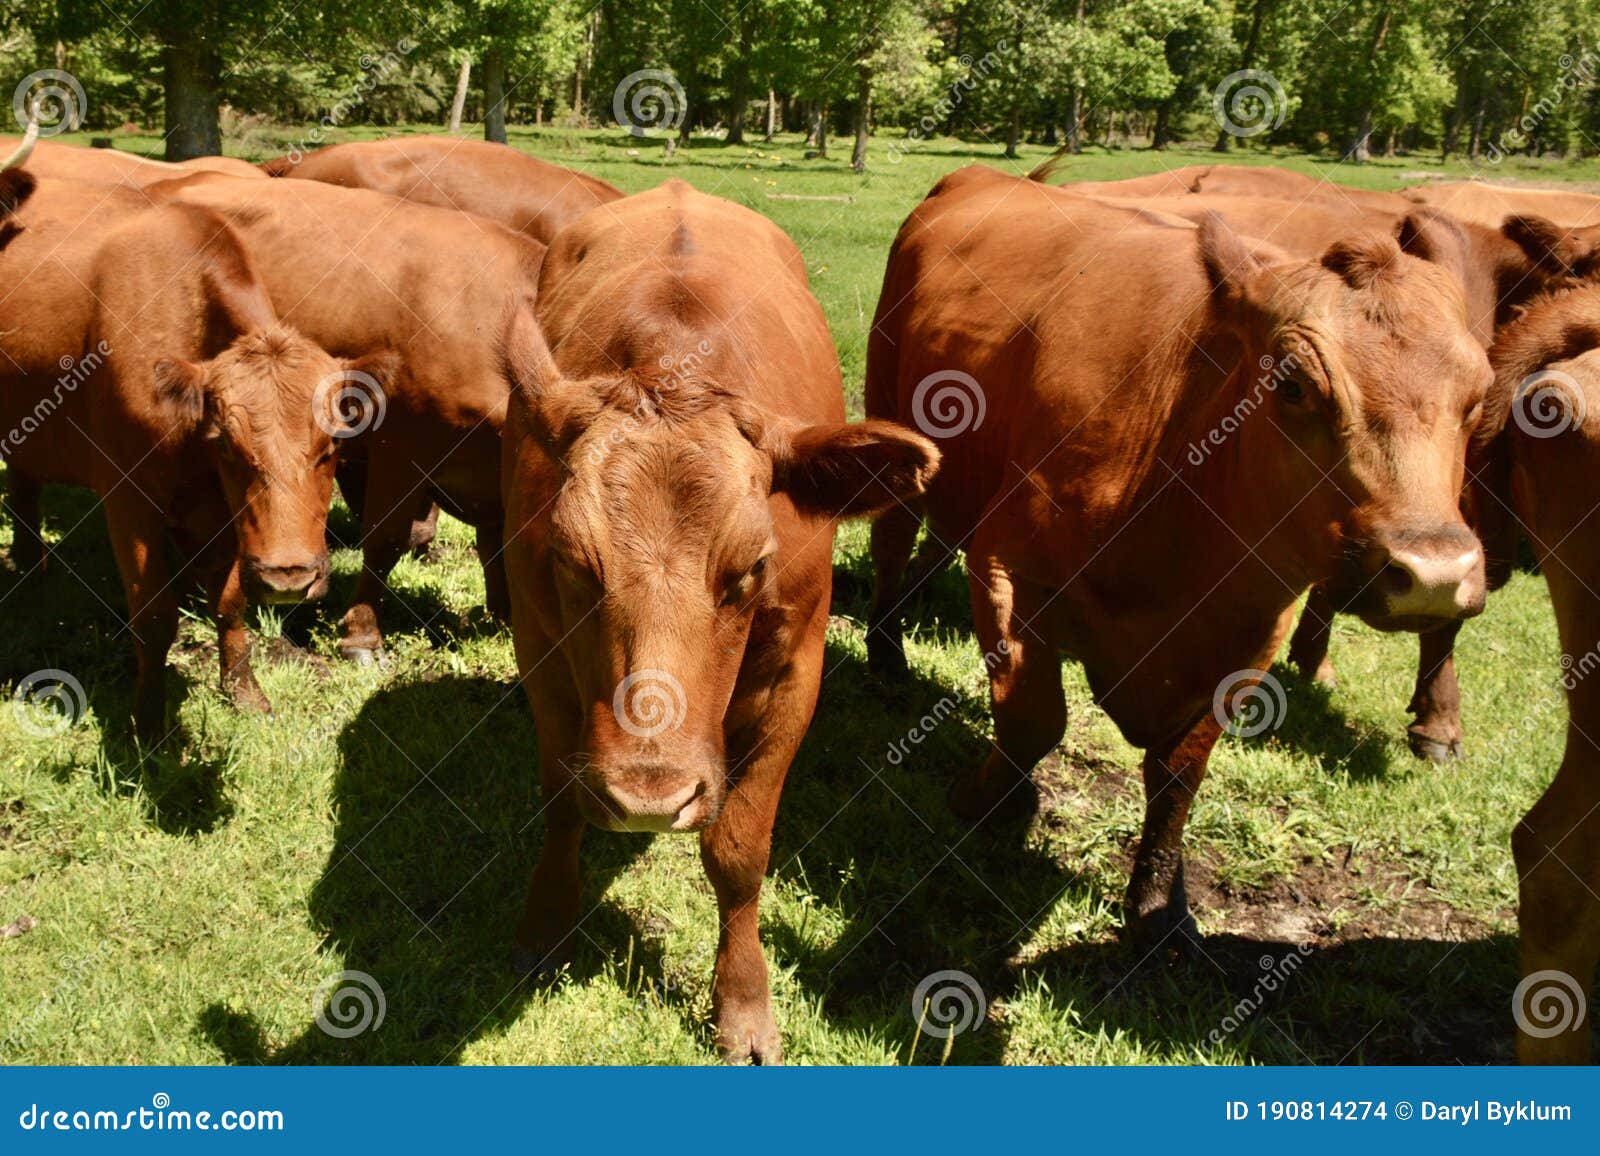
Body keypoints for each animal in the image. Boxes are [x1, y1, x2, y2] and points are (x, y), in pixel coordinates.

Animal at [0, 156, 392, 742]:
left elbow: (229, 601)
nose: (288, 577)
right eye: (229, 446)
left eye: (330, 447)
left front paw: (245, 693)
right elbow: (153, 616)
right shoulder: (128, 500)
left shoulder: (223, 509)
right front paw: (146, 724)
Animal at [499, 180, 938, 1063]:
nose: (648, 794)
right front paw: (544, 926)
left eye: (751, 566)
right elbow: (561, 798)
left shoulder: (795, 672)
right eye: (572, 559)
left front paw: (742, 1004)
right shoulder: (540, 648)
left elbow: (738, 852)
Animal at [866, 165, 1490, 947]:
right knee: (891, 545)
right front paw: (988, 802)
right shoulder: (1009, 564)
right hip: (891, 419)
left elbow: (1180, 771)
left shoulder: (1249, 636)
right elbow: (1034, 718)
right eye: (1292, 384)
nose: (1433, 576)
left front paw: (1161, 904)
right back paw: (885, 657)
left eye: (1480, 397)